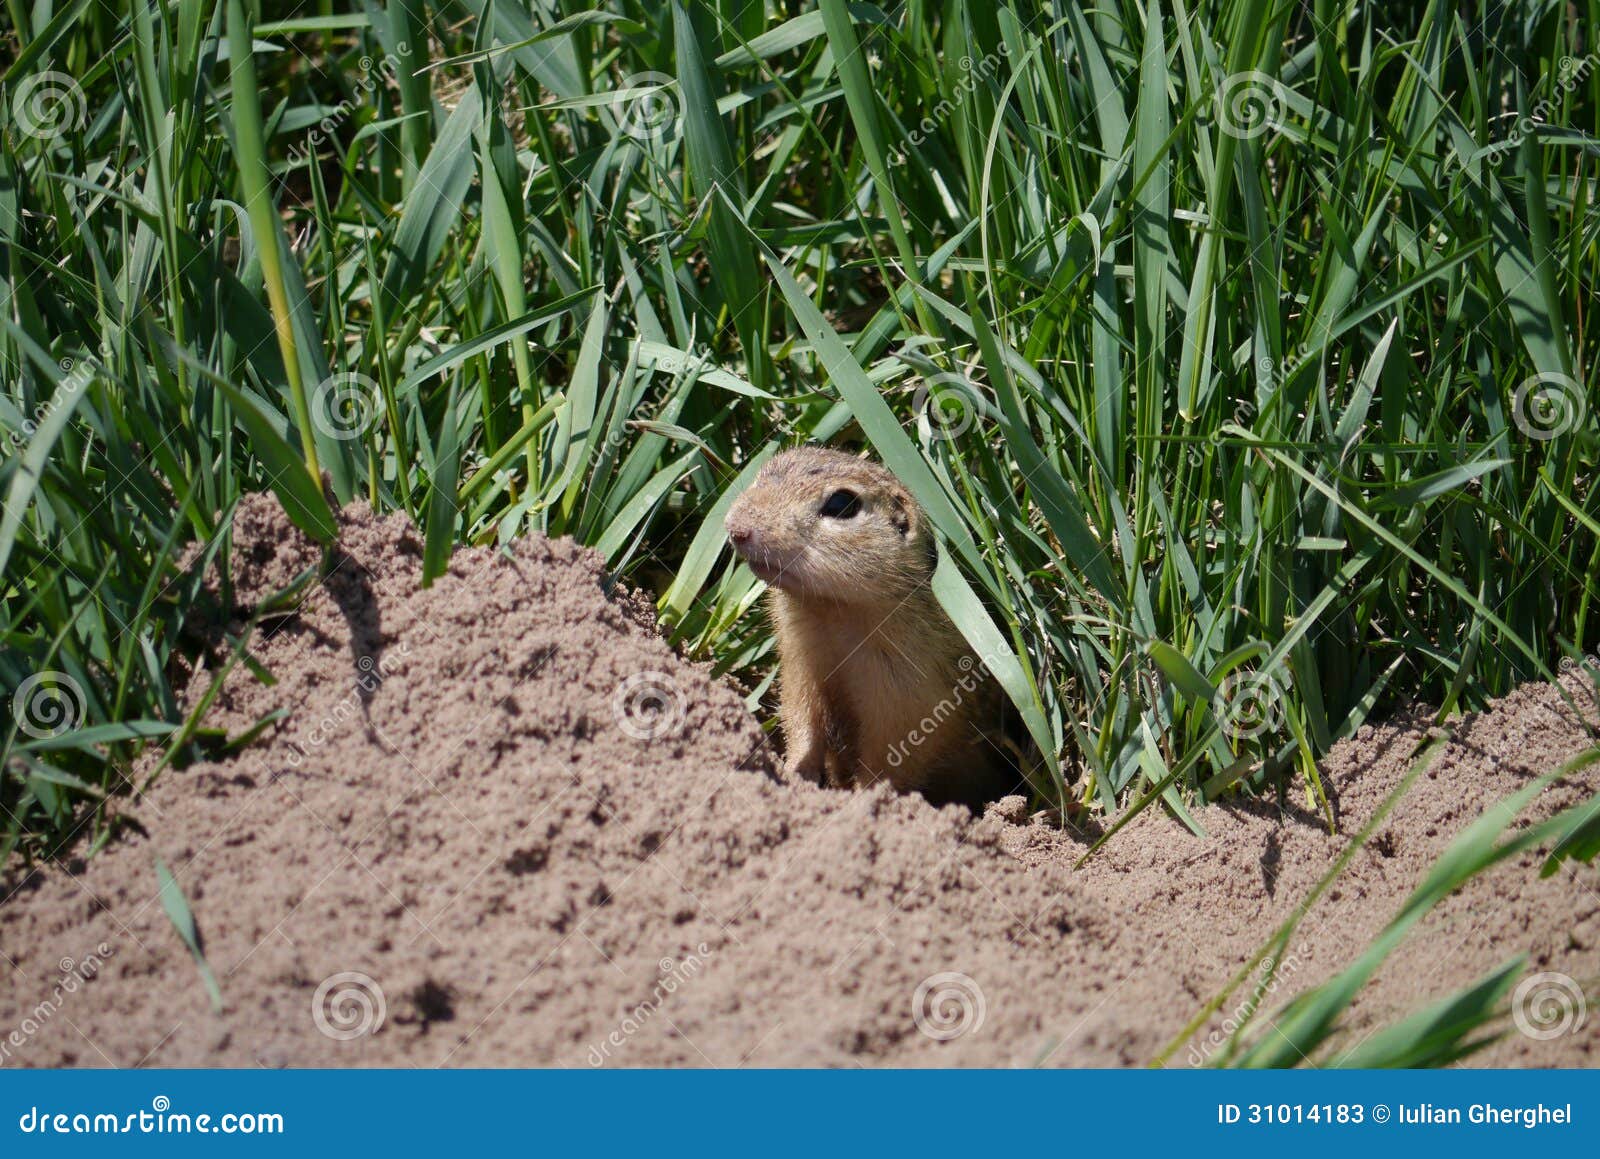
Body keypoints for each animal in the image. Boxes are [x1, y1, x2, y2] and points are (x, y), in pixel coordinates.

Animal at [724, 446, 1019, 810]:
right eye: (768, 468)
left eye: (841, 504)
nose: (736, 527)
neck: (832, 613)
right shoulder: (800, 665)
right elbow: (801, 718)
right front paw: (794, 773)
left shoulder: (911, 701)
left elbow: (889, 762)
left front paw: (862, 803)